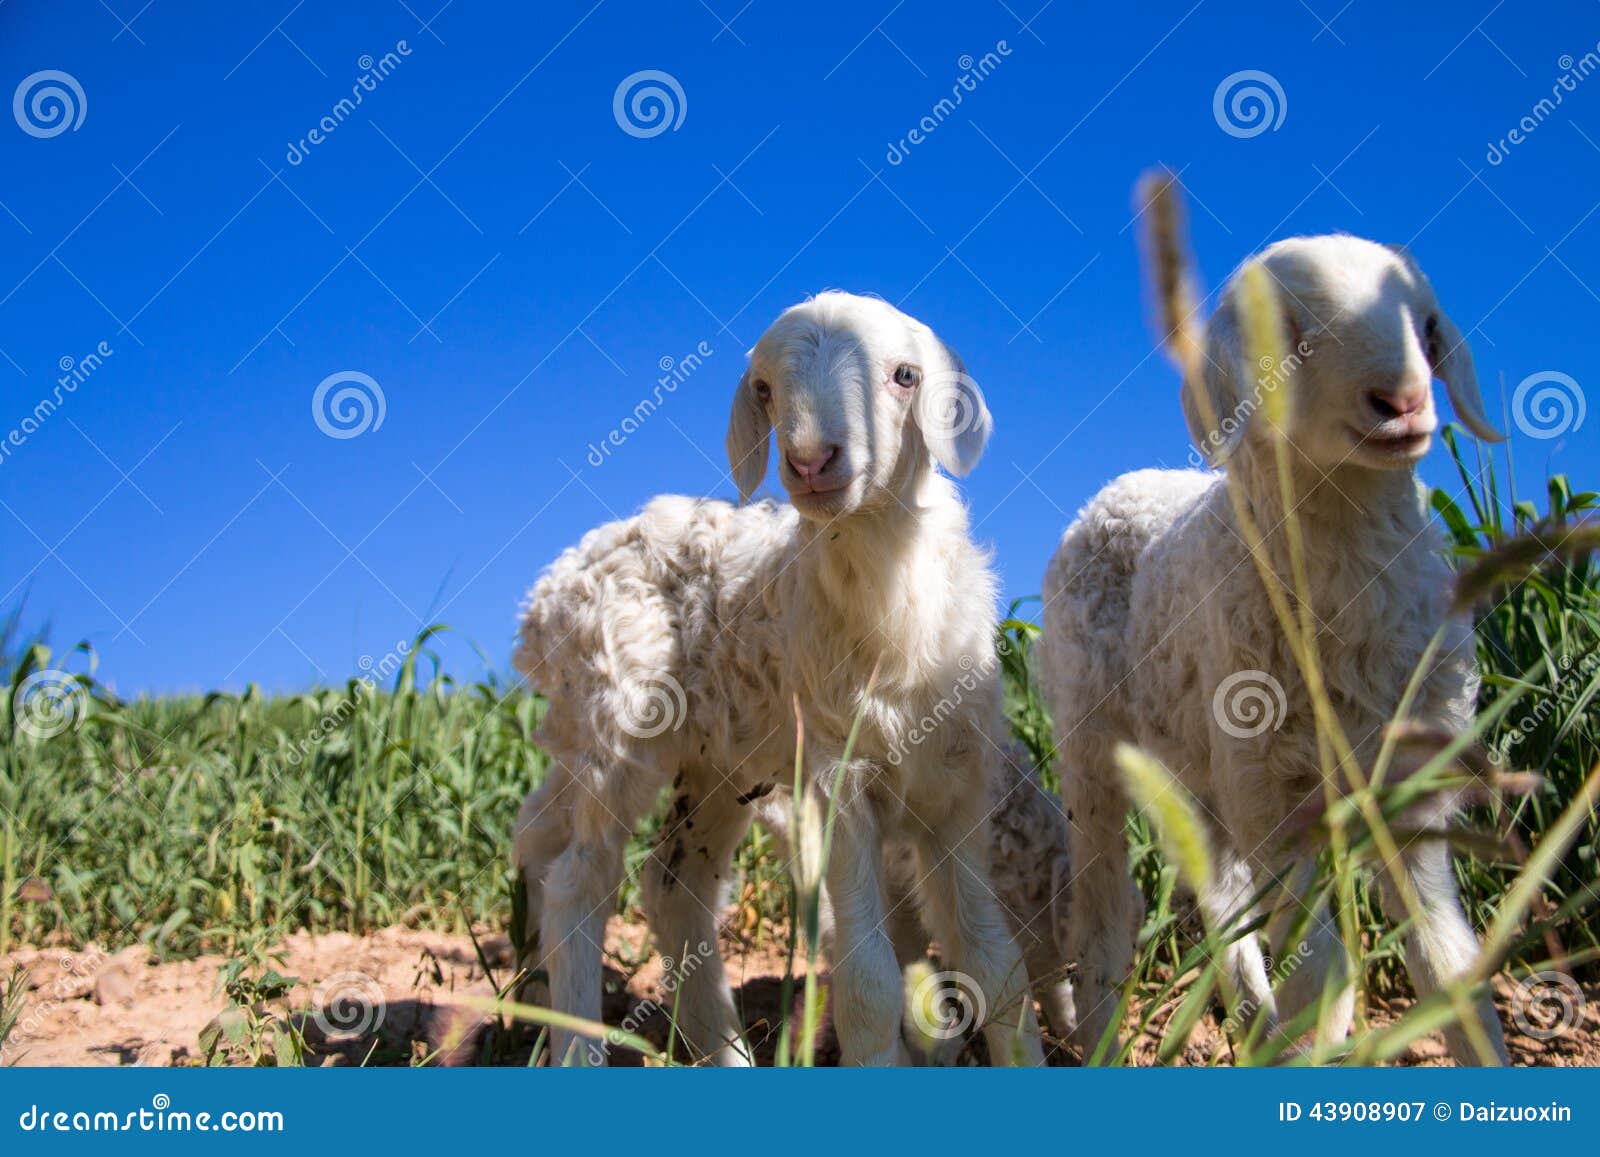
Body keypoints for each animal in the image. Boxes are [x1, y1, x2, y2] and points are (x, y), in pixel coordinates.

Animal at [511, 292, 1046, 1066]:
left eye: (906, 375)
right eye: (763, 389)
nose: (812, 459)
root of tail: (548, 595)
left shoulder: (959, 789)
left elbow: (996, 967)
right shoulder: (839, 776)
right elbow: (870, 982)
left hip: (700, 757)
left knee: (656, 880)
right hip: (621, 724)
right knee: (578, 885)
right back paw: (574, 1036)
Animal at [1039, 233, 1511, 1065]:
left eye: (1427, 328)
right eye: (1289, 339)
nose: (1403, 402)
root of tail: (1120, 485)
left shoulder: (1409, 792)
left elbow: (1448, 961)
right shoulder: (1279, 804)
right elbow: (1320, 964)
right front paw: (1316, 1039)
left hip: (1207, 765)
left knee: (1222, 895)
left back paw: (1252, 1023)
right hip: (1096, 744)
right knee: (1104, 911)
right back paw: (1103, 1035)